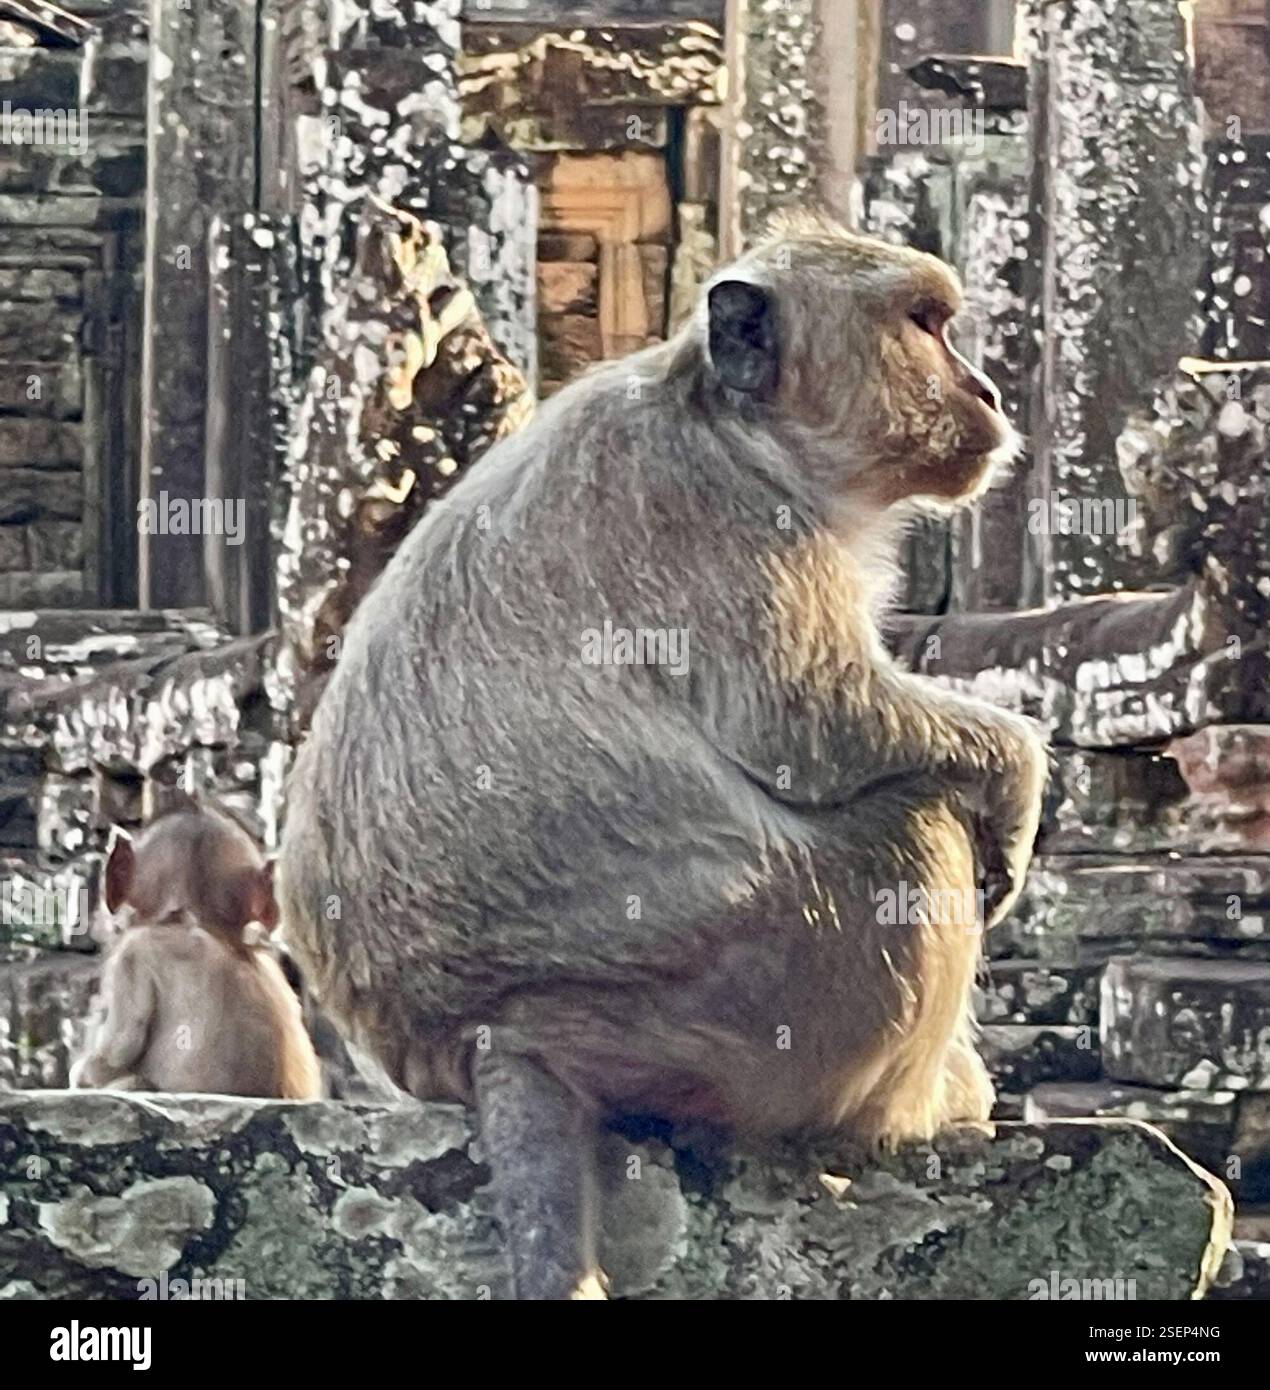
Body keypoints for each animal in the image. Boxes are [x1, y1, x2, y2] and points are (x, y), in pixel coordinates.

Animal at [278, 213, 1049, 1299]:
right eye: (924, 324)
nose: (984, 390)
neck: (736, 427)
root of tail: (492, 1035)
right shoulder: (739, 521)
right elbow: (809, 728)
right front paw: (1014, 774)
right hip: (757, 995)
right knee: (913, 824)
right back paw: (911, 1107)